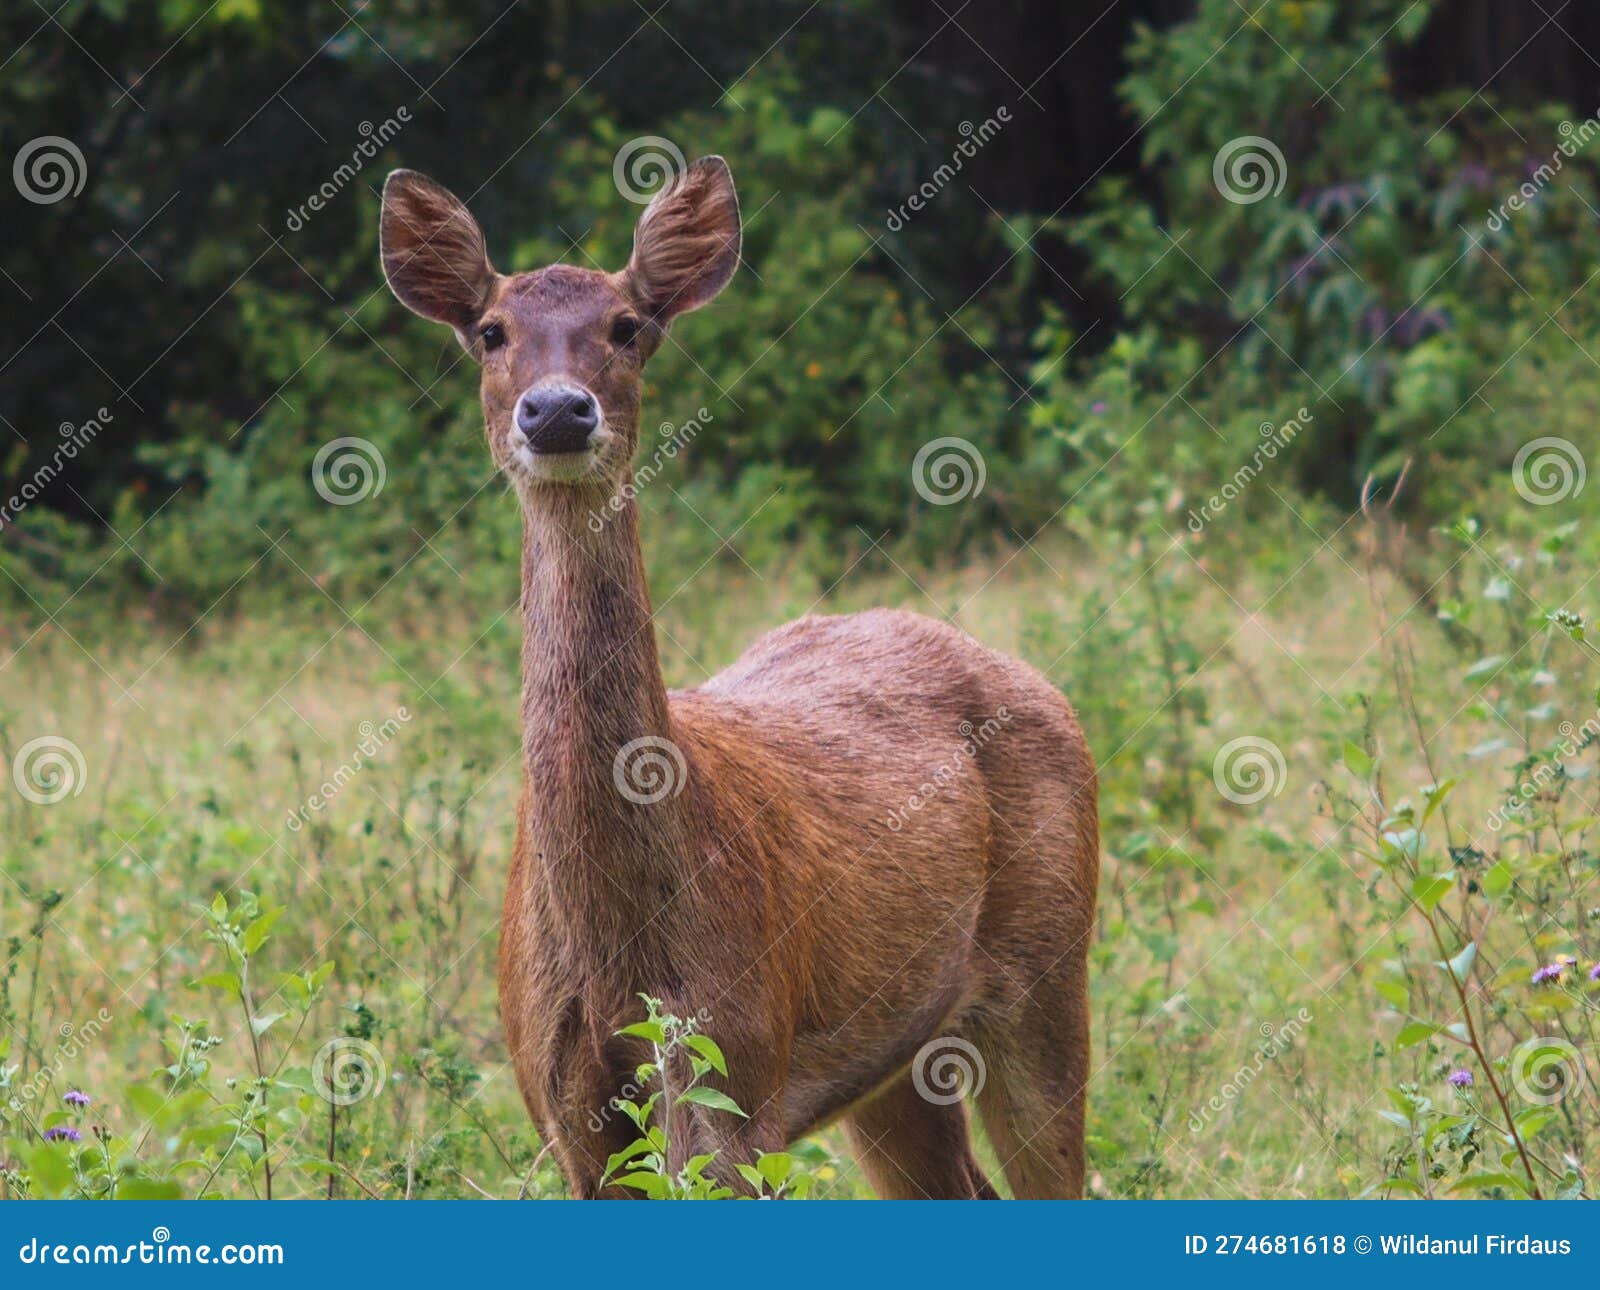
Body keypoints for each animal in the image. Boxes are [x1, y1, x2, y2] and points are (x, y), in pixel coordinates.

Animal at [379, 156, 1099, 1199]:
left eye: (628, 325)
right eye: (491, 331)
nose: (556, 410)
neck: (618, 948)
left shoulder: (734, 1057)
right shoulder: (560, 1098)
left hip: (1048, 963)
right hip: (894, 1057)